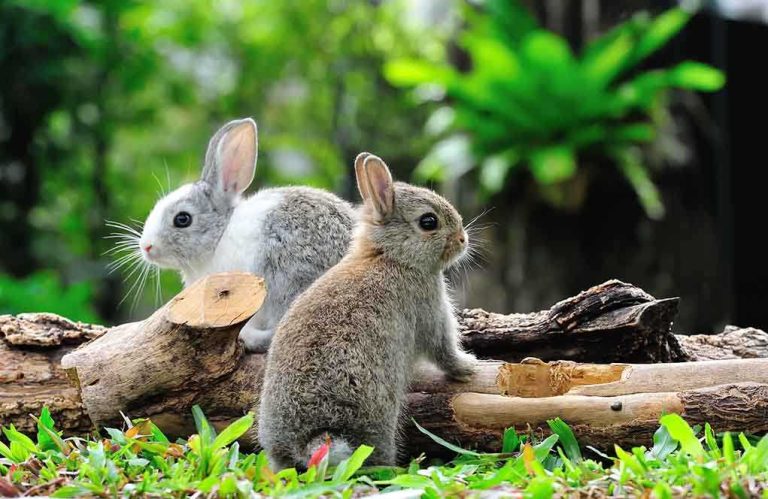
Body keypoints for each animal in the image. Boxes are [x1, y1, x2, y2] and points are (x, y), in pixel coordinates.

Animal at [257, 152, 478, 470]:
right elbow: (443, 350)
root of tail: (309, 439)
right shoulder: (429, 308)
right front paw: (468, 367)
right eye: (428, 222)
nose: (462, 239)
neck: (390, 256)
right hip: (378, 418)